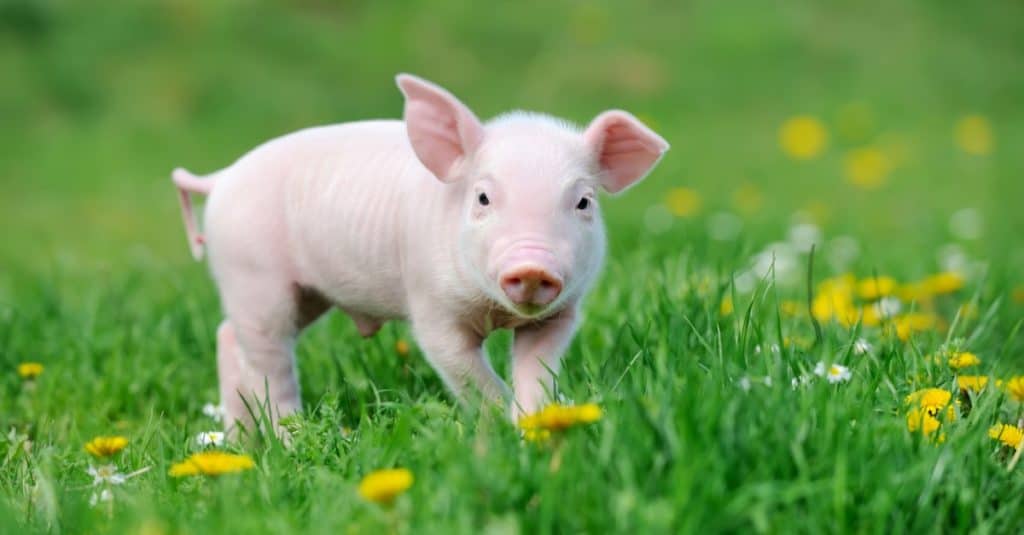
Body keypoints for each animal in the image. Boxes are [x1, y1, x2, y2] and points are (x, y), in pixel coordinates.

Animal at [172, 74, 668, 432]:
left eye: (583, 202)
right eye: (483, 197)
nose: (532, 266)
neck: (495, 311)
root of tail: (220, 178)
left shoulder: (561, 313)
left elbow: (536, 369)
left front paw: (536, 425)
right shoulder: (432, 308)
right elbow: (468, 373)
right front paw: (500, 431)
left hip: (300, 293)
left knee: (229, 339)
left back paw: (241, 444)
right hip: (253, 276)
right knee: (268, 362)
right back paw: (290, 438)